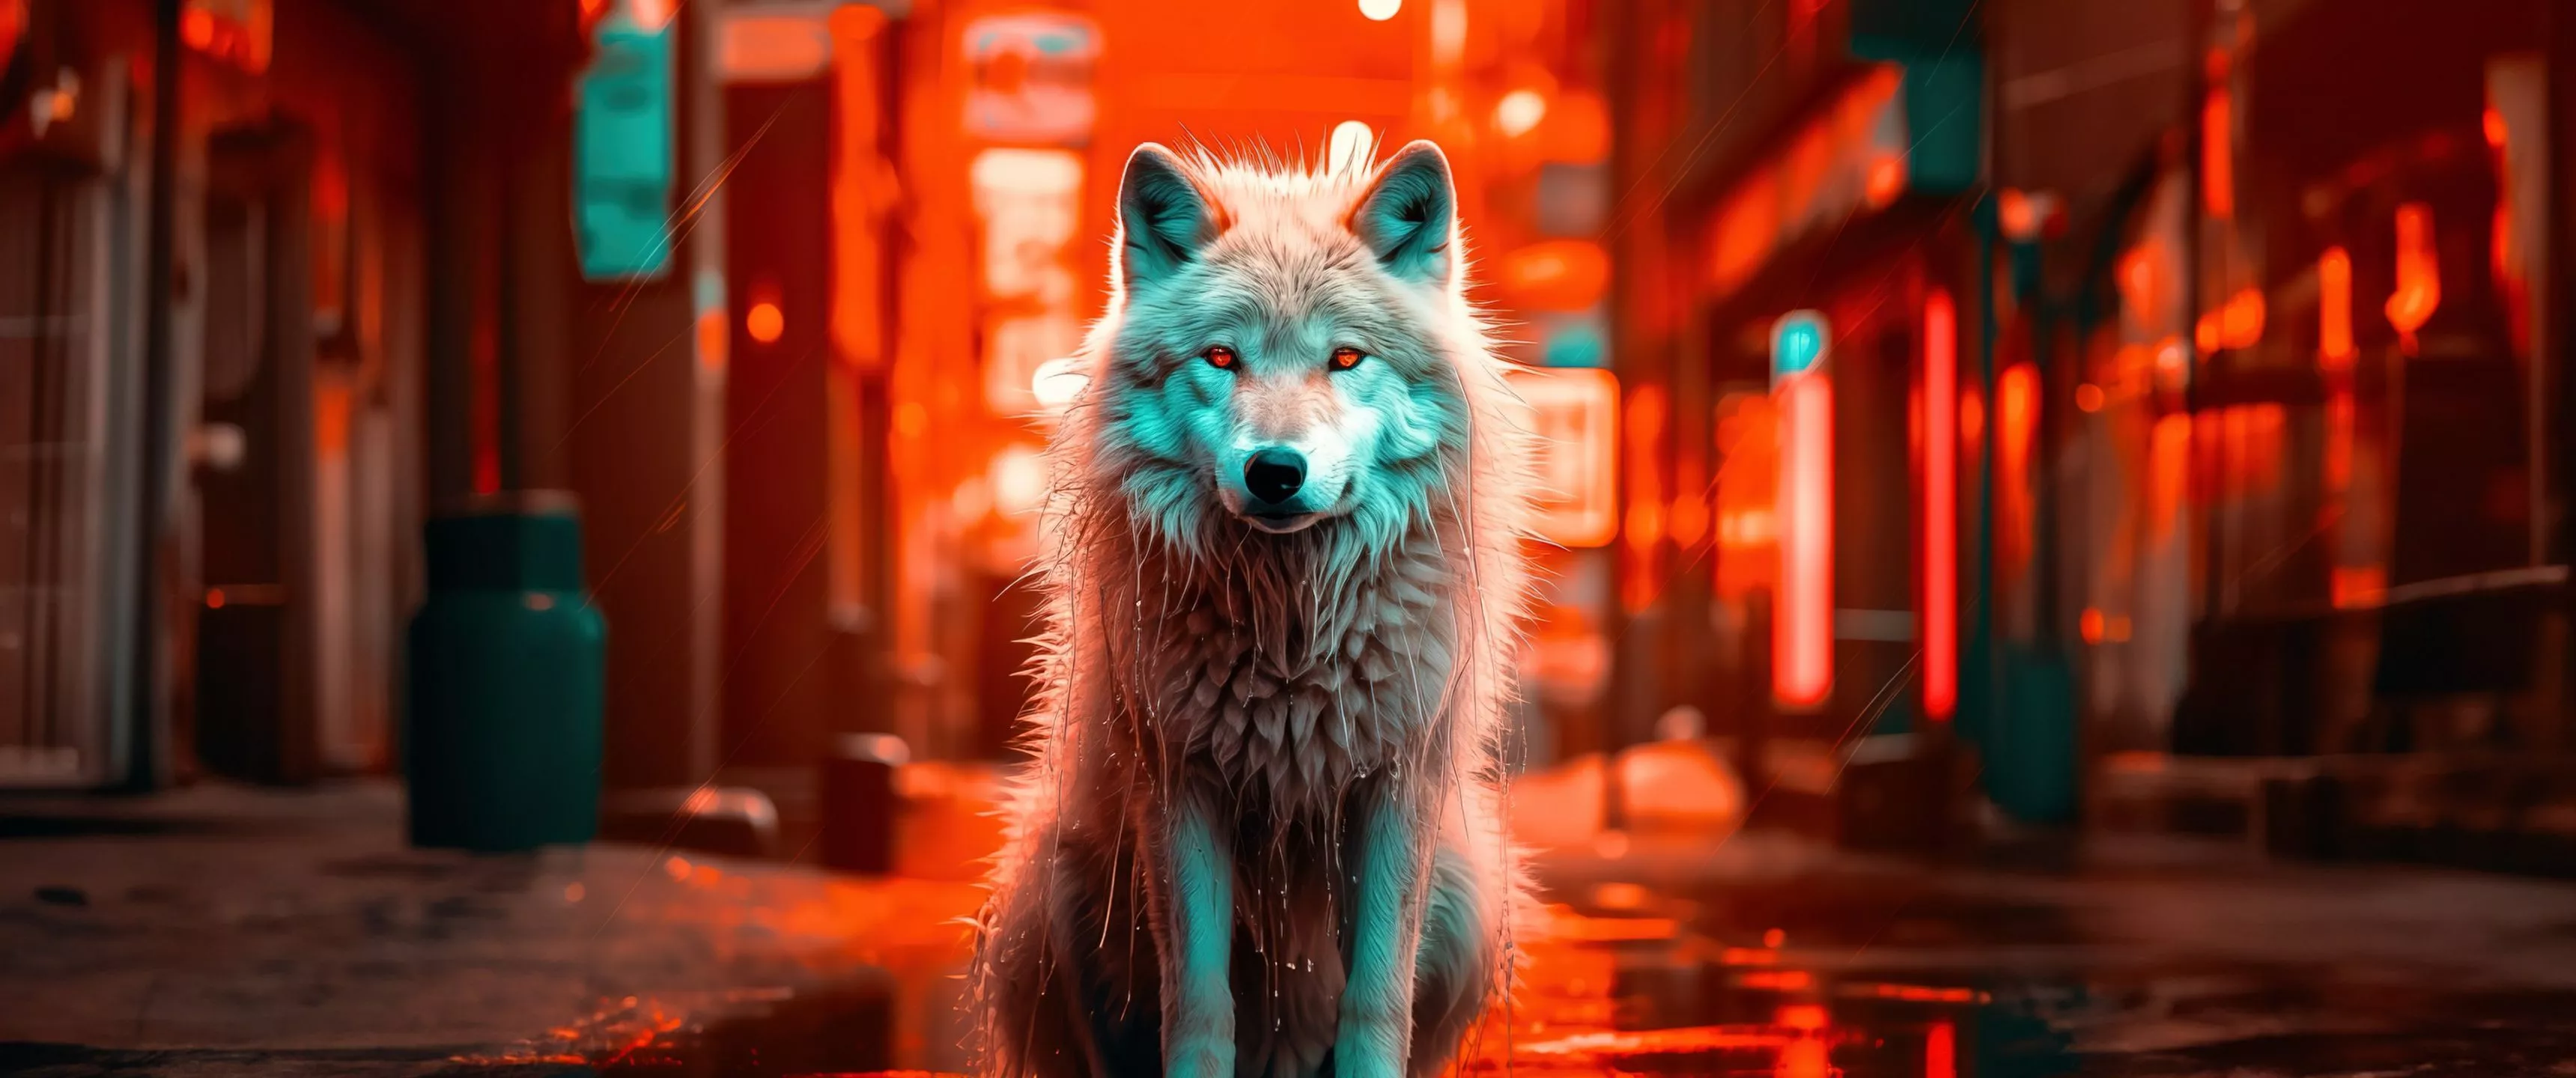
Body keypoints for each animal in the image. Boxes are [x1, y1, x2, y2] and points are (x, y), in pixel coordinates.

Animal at [966, 139, 1536, 1078]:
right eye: (1221, 359)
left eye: (1345, 359)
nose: (1275, 470)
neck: (1292, 636)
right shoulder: (1179, 788)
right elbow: (1198, 1009)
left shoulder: (1393, 787)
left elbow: (1374, 1006)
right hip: (1060, 896)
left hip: (1465, 901)